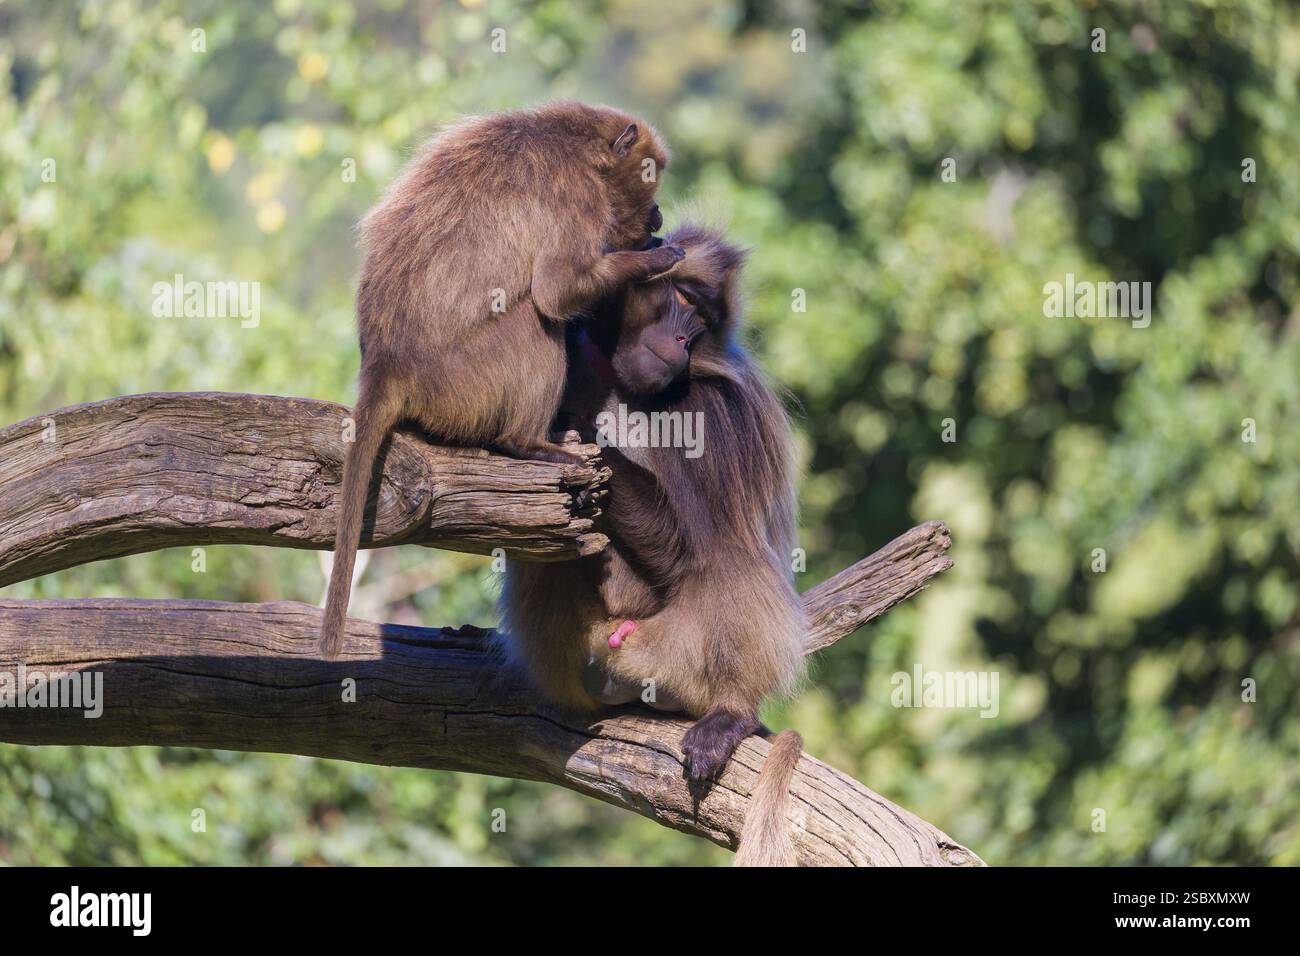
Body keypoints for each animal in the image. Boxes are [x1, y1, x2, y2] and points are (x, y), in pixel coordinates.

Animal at [320, 101, 684, 658]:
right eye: (650, 174)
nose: (659, 214)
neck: (576, 145)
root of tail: (385, 364)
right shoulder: (573, 197)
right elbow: (558, 291)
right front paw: (653, 259)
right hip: (465, 383)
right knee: (535, 320)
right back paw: (530, 444)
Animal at [501, 224, 807, 865]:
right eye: (684, 300)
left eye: (705, 322)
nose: (685, 341)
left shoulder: (714, 411)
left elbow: (691, 547)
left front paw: (584, 436)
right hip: (574, 640)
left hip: (672, 649)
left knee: (730, 553)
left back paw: (731, 712)